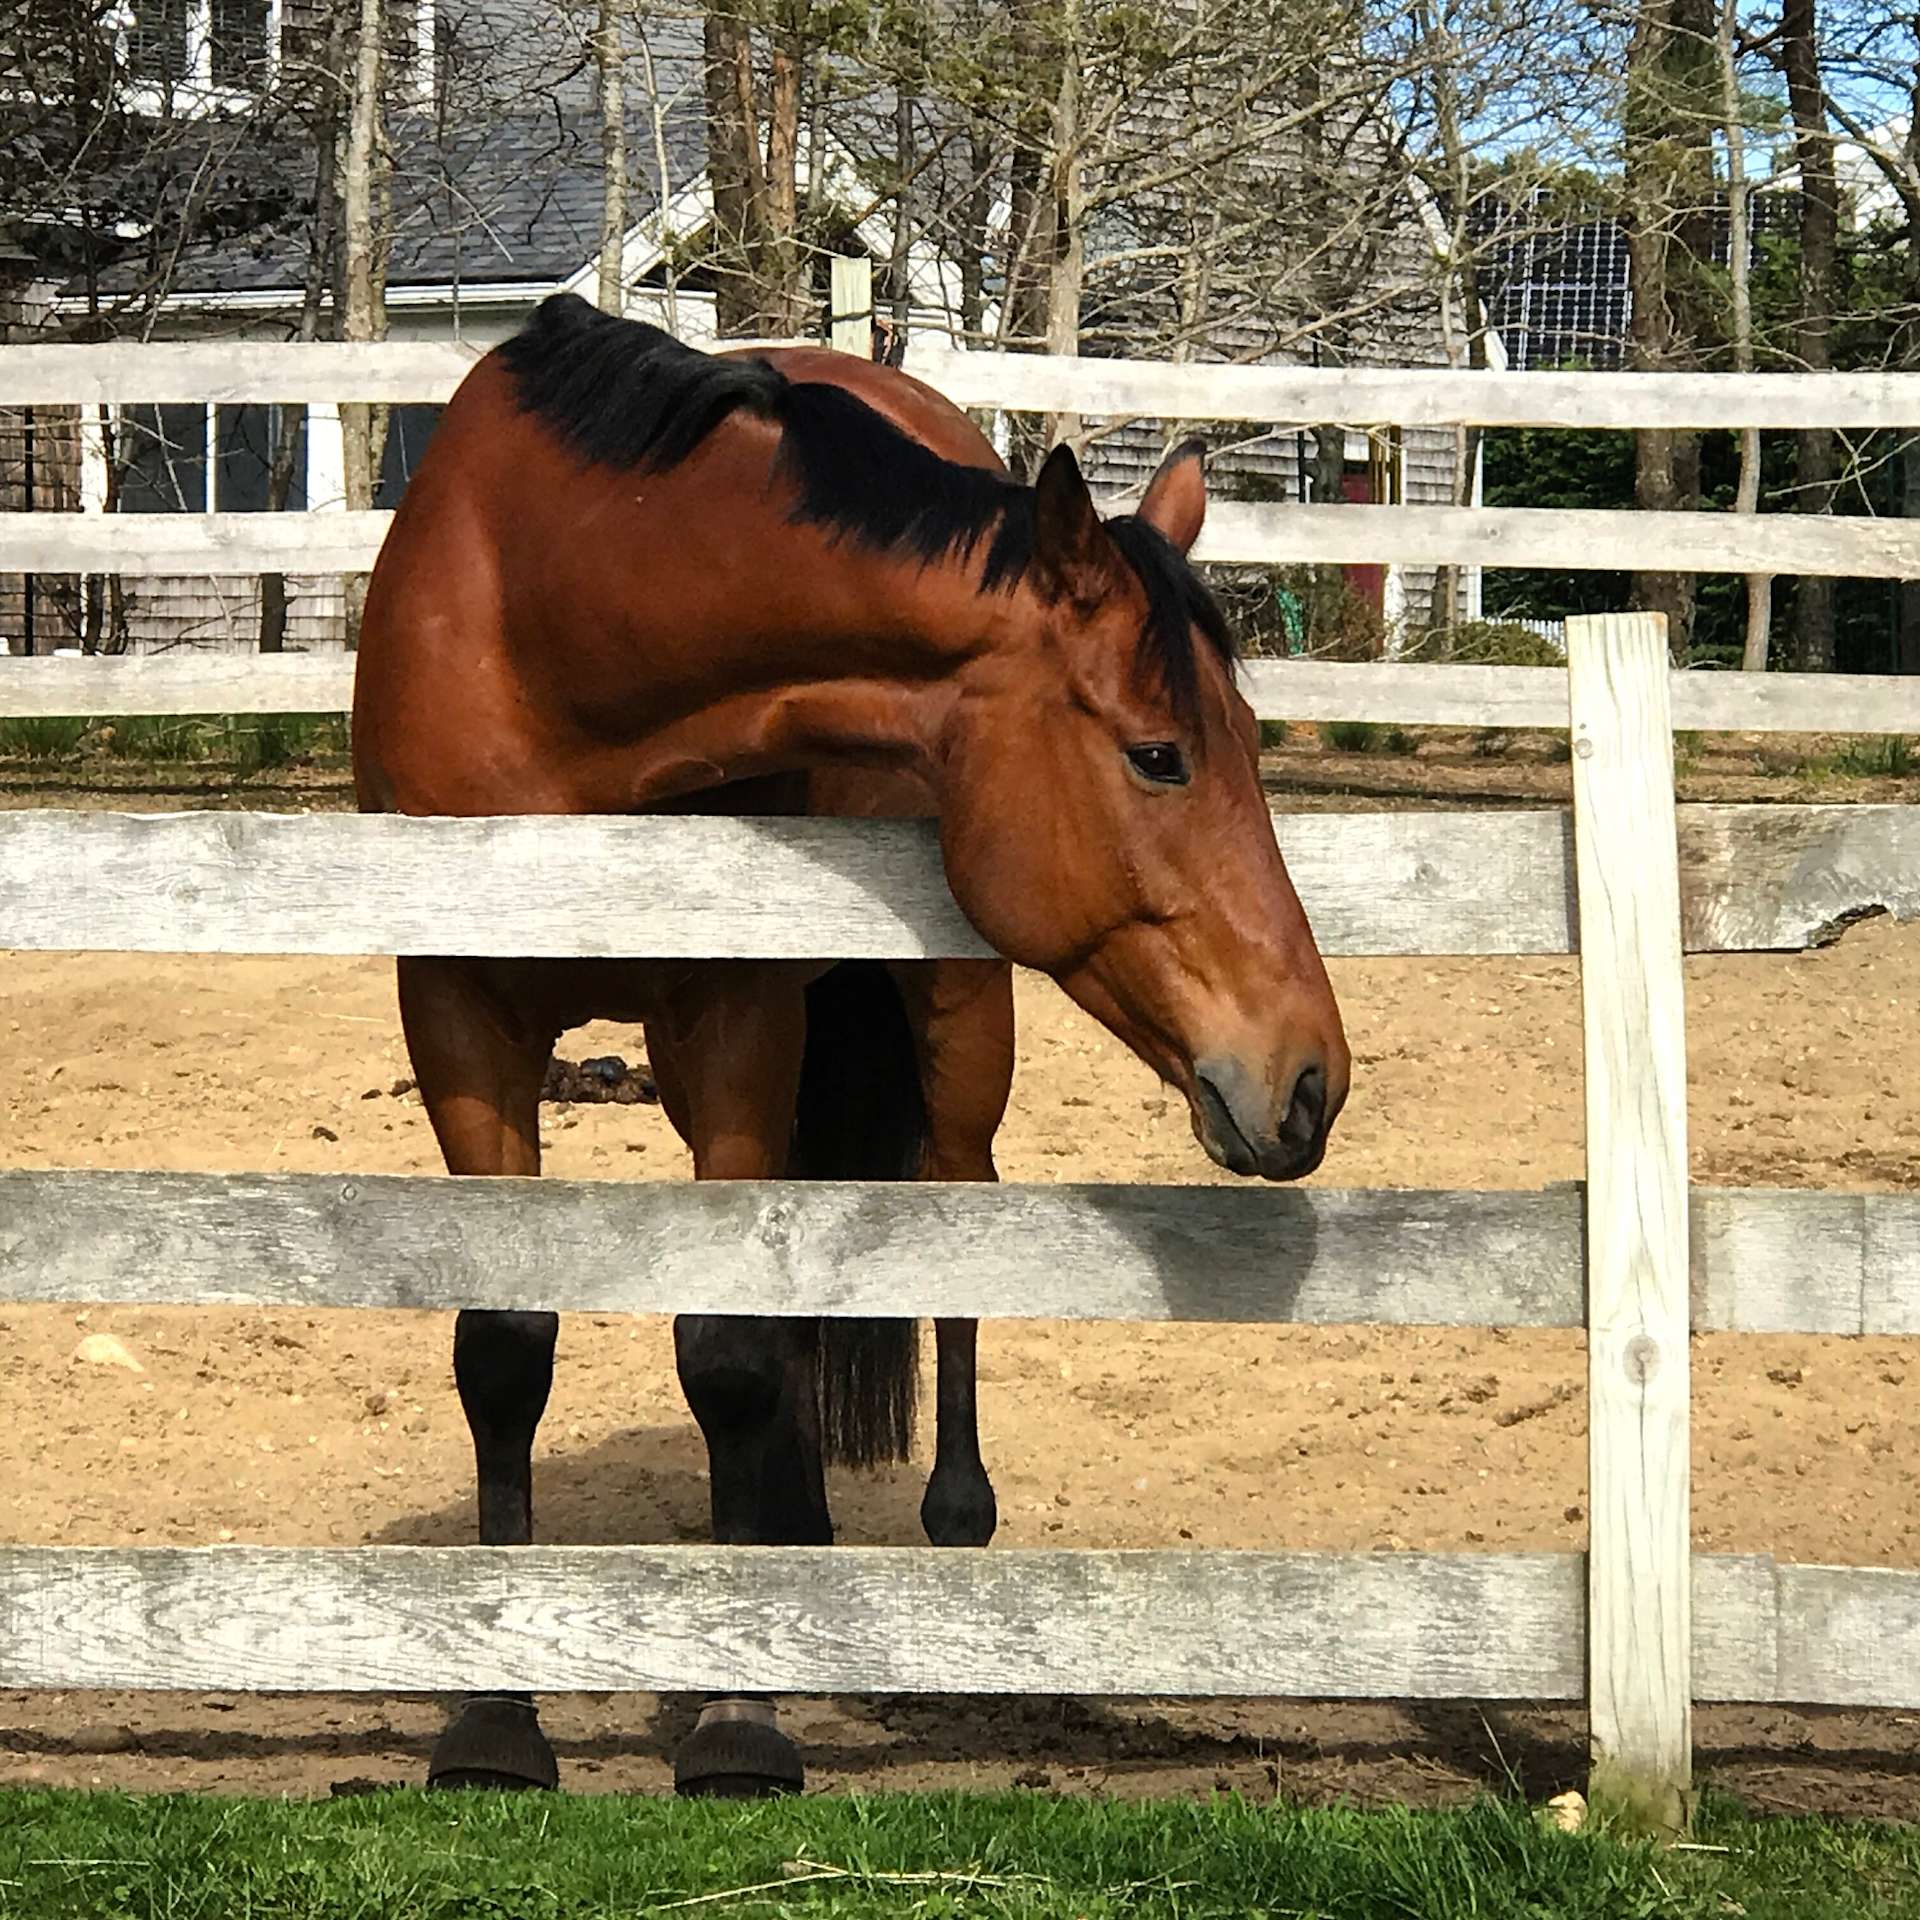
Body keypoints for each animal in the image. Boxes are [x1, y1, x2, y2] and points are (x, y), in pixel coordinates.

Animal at [352, 291, 1351, 1797]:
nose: (1308, 1077)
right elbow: (508, 1349)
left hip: (948, 1017)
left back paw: (941, 1527)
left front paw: (737, 1719)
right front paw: (494, 1719)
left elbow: (727, 1352)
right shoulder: (461, 1012)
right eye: (1161, 754)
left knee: (949, 1213)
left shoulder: (735, 1014)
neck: (558, 614)